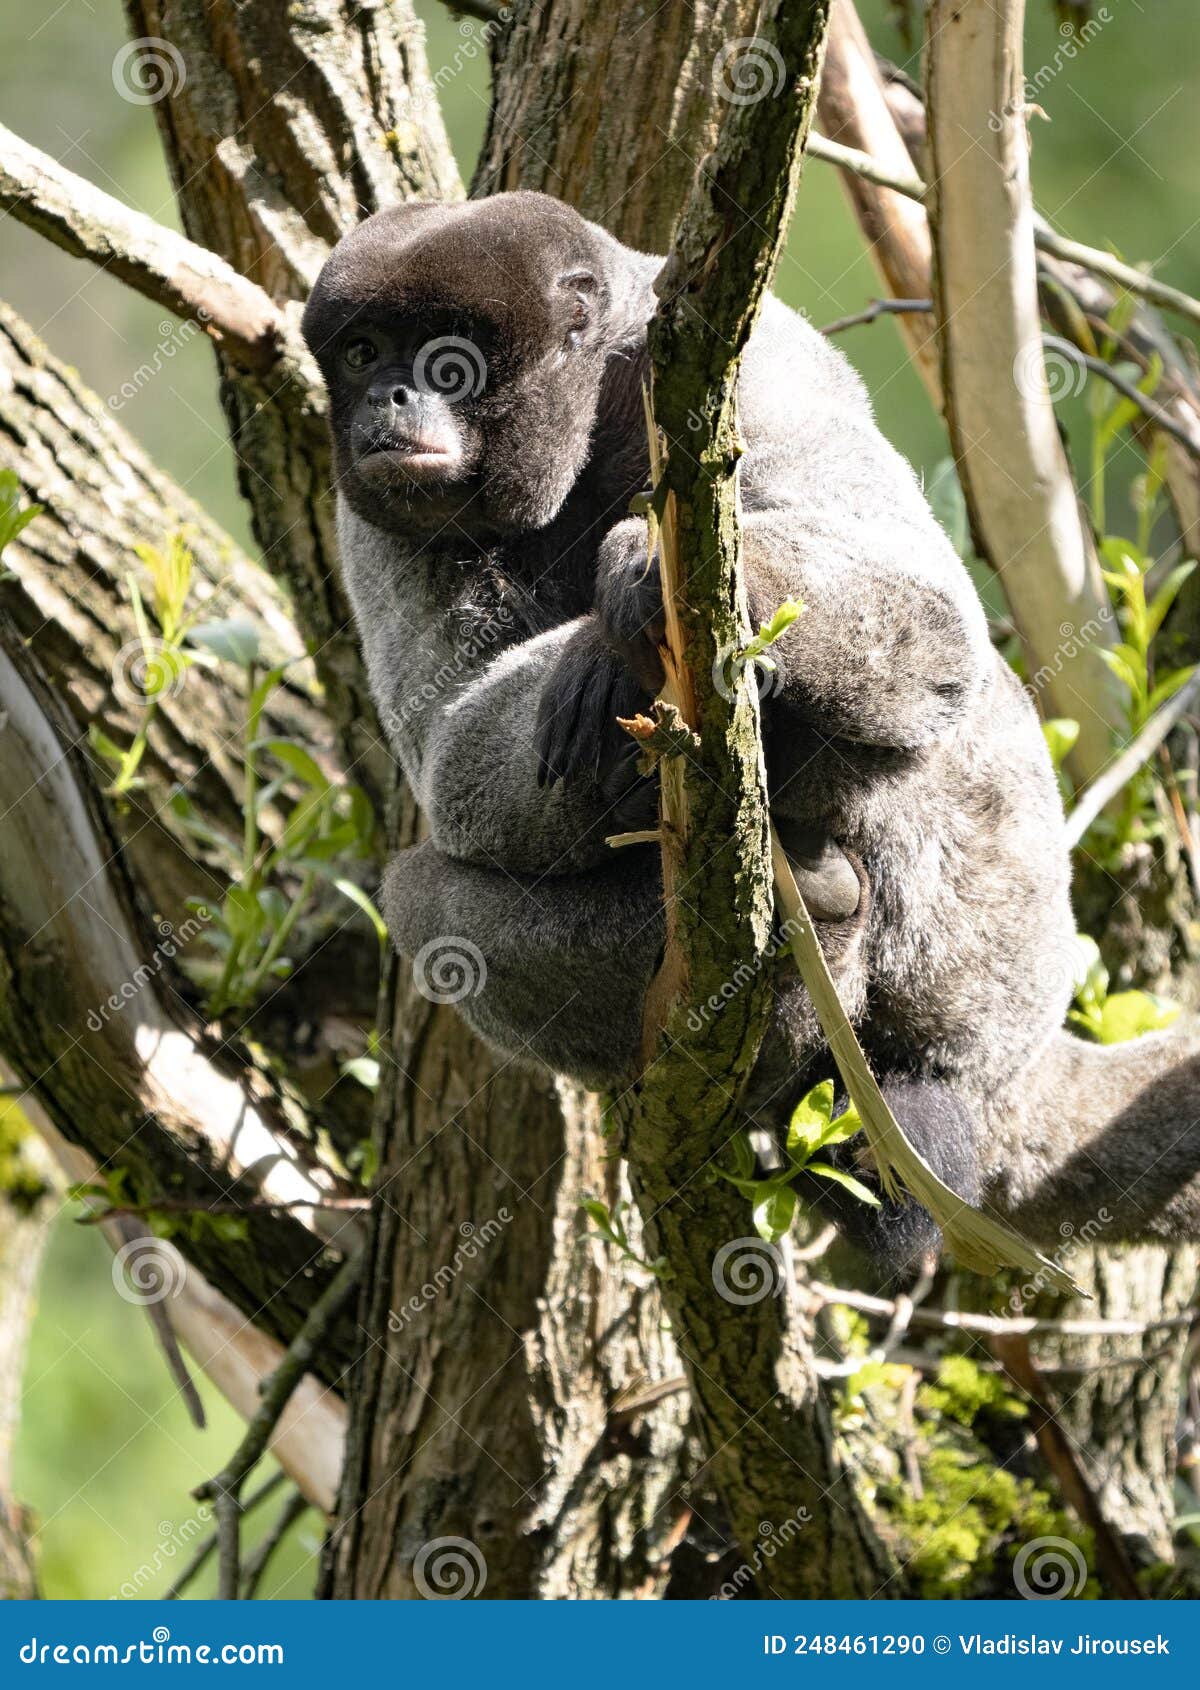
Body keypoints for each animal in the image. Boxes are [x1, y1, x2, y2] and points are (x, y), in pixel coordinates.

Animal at [302, 190, 1200, 1280]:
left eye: (446, 364)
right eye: (360, 353)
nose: (386, 400)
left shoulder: (756, 361)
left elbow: (926, 603)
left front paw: (631, 596)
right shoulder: (369, 519)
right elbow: (444, 759)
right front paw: (595, 673)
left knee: (942, 695)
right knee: (423, 894)